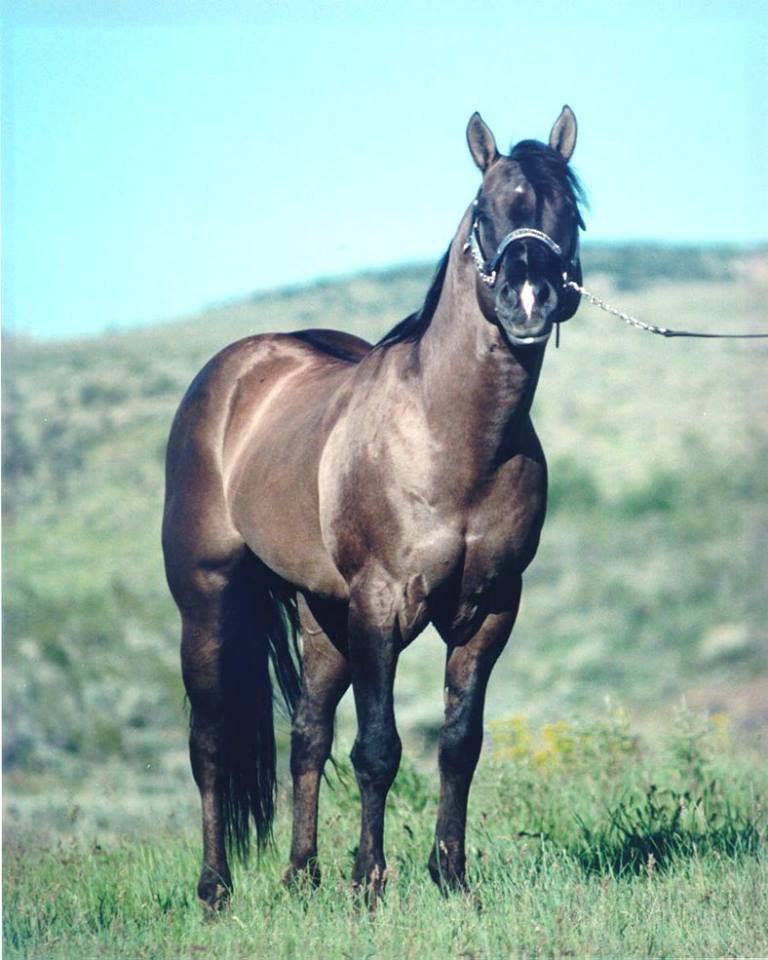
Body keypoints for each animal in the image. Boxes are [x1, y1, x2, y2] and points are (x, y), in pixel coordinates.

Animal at [162, 107, 585, 909]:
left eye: (571, 214)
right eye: (483, 211)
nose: (529, 300)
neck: (454, 439)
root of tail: (233, 372)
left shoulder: (490, 611)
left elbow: (457, 746)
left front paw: (450, 877)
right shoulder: (381, 604)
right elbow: (379, 748)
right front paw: (369, 884)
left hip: (322, 614)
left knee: (306, 734)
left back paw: (301, 876)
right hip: (209, 600)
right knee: (210, 742)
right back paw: (215, 890)